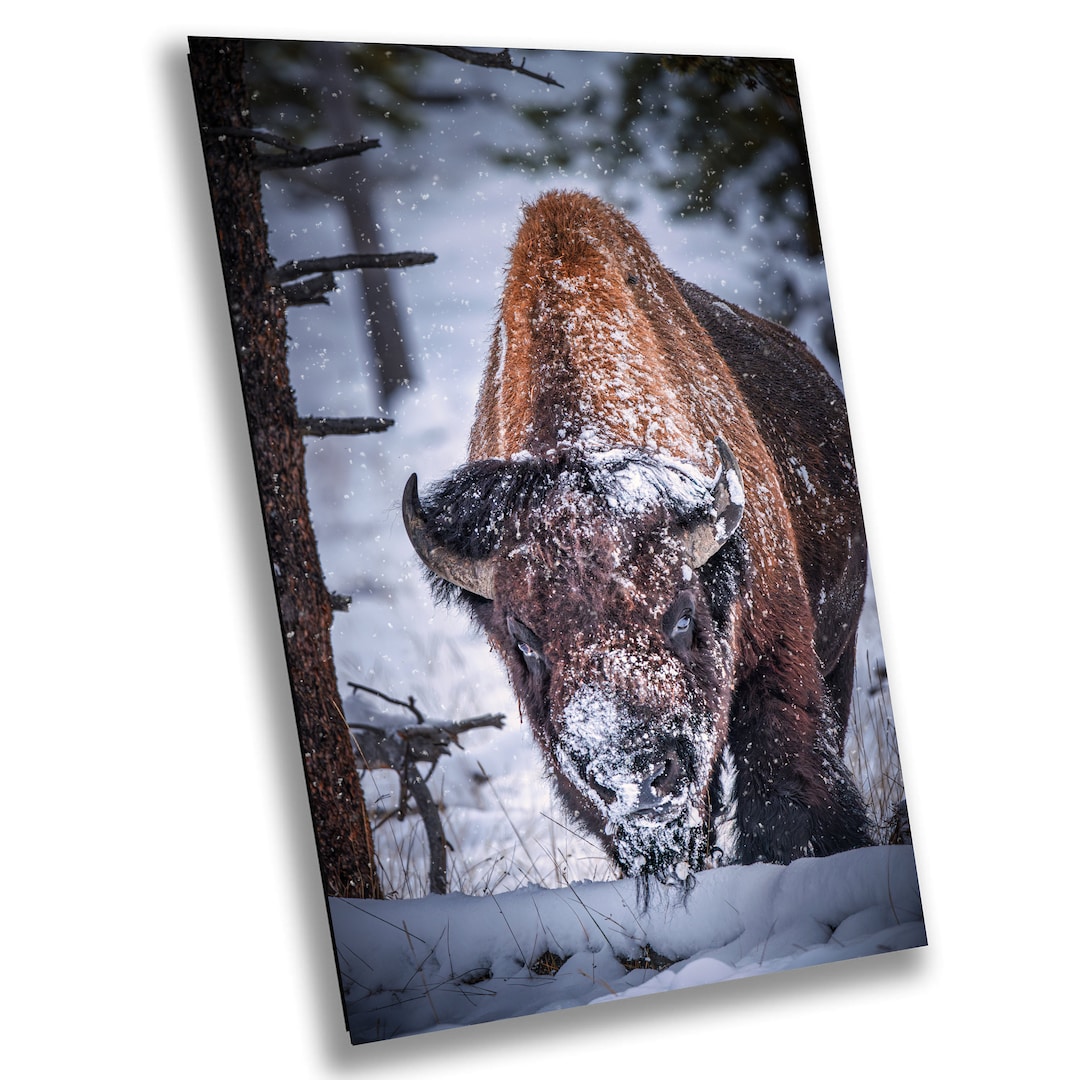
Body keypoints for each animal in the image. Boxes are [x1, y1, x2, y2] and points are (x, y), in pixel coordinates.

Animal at [403, 190, 872, 884]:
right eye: (523, 641)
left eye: (683, 614)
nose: (636, 776)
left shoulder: (780, 666)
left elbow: (785, 797)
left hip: (841, 651)